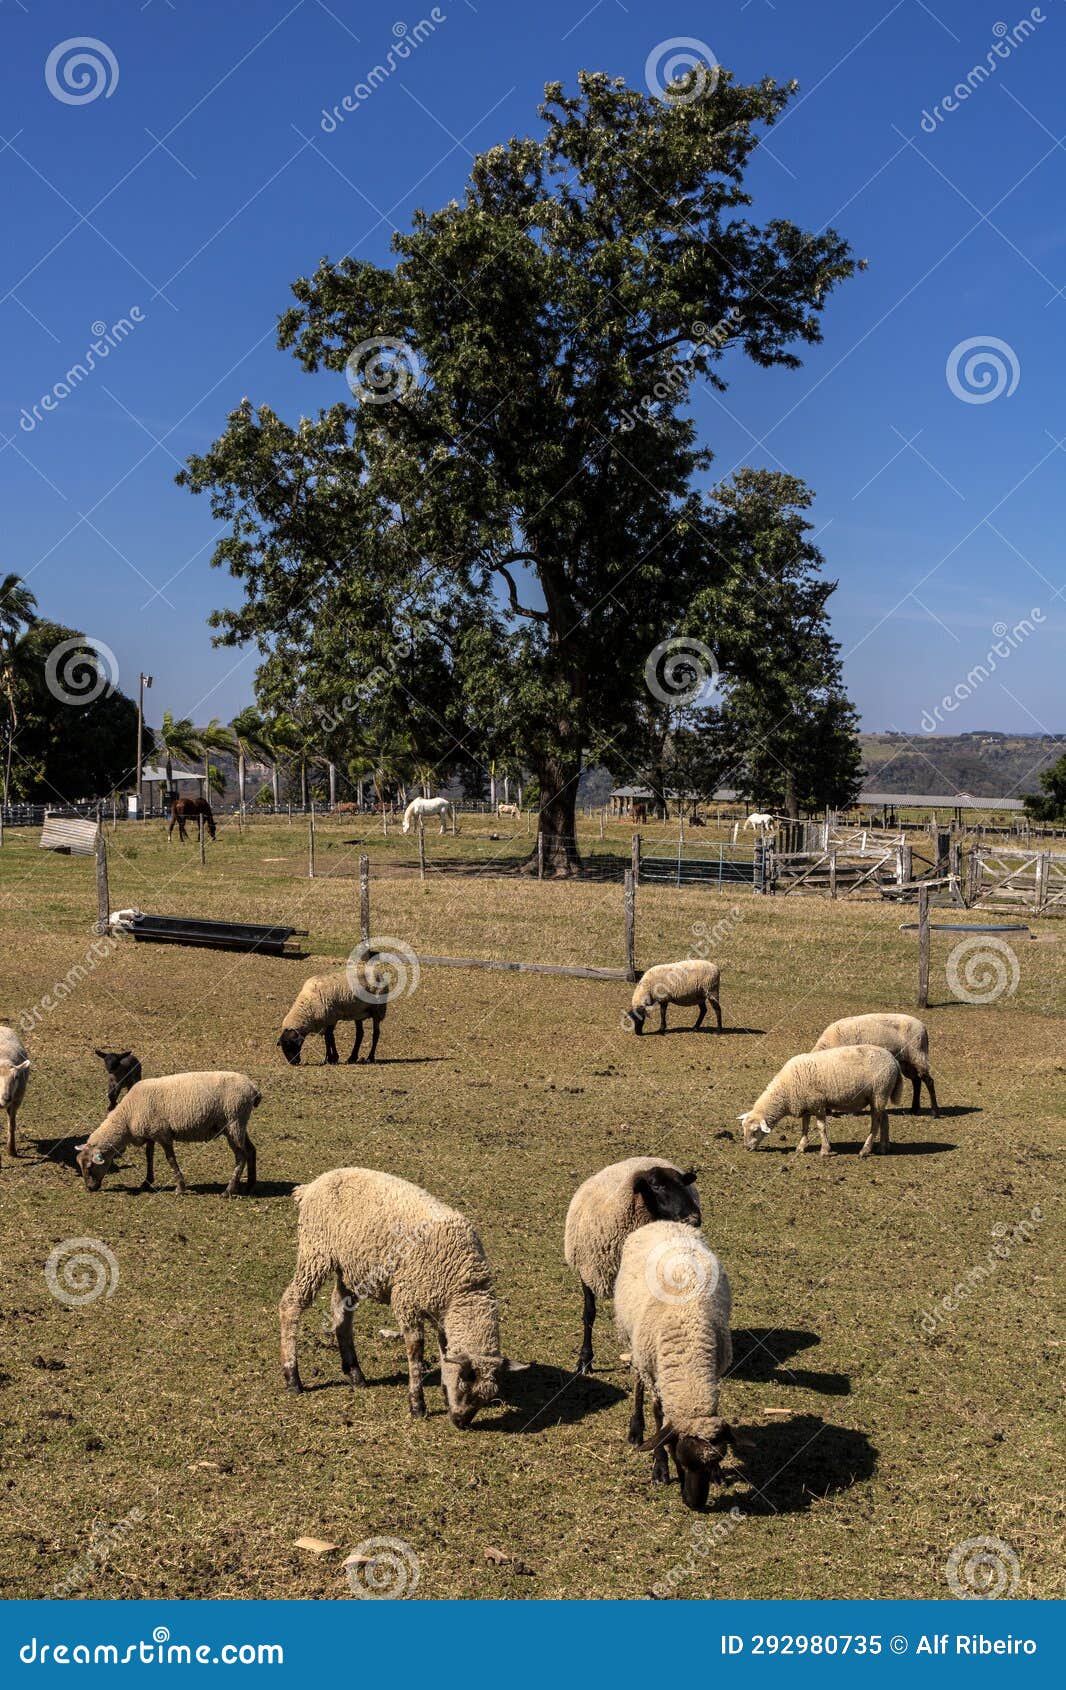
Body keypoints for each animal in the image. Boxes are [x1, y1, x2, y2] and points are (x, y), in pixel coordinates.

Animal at [75, 1071, 261, 1195]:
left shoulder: (162, 1134)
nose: (90, 1188)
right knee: (251, 1150)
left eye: (90, 1166)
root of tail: (253, 1088)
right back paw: (250, 1185)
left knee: (241, 1156)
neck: (127, 1116)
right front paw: (147, 1182)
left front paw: (180, 1188)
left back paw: (229, 1190)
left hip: (233, 1122)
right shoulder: (150, 1132)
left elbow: (170, 1159)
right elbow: (149, 1155)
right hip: (238, 1125)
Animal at [279, 1167, 526, 1424]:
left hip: (350, 1268)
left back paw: (355, 1374)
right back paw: (292, 1378)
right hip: (315, 1251)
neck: (461, 1288)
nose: (460, 1423)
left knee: (341, 1314)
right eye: (465, 1385)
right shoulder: (406, 1299)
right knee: (291, 1304)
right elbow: (416, 1350)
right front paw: (417, 1405)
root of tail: (312, 1185)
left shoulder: (441, 1314)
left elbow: (444, 1351)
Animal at [564, 1157, 701, 1374]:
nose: (694, 1218)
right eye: (656, 1186)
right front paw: (584, 1361)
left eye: (682, 1184)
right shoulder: (587, 1272)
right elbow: (589, 1314)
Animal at [614, 1220, 739, 1509]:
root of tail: (662, 1222)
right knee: (636, 1380)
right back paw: (636, 1429)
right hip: (635, 1345)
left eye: (719, 1458)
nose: (695, 1504)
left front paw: (718, 1475)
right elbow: (659, 1418)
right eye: (679, 1459)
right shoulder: (656, 1378)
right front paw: (659, 1469)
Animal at [740, 1045, 906, 1159]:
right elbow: (805, 1127)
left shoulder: (817, 1104)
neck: (785, 1090)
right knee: (885, 1118)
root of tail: (894, 1060)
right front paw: (801, 1147)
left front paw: (825, 1150)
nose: (746, 1147)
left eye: (755, 1131)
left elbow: (820, 1127)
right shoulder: (805, 1106)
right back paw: (884, 1147)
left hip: (879, 1091)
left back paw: (865, 1150)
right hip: (880, 1095)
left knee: (875, 1122)